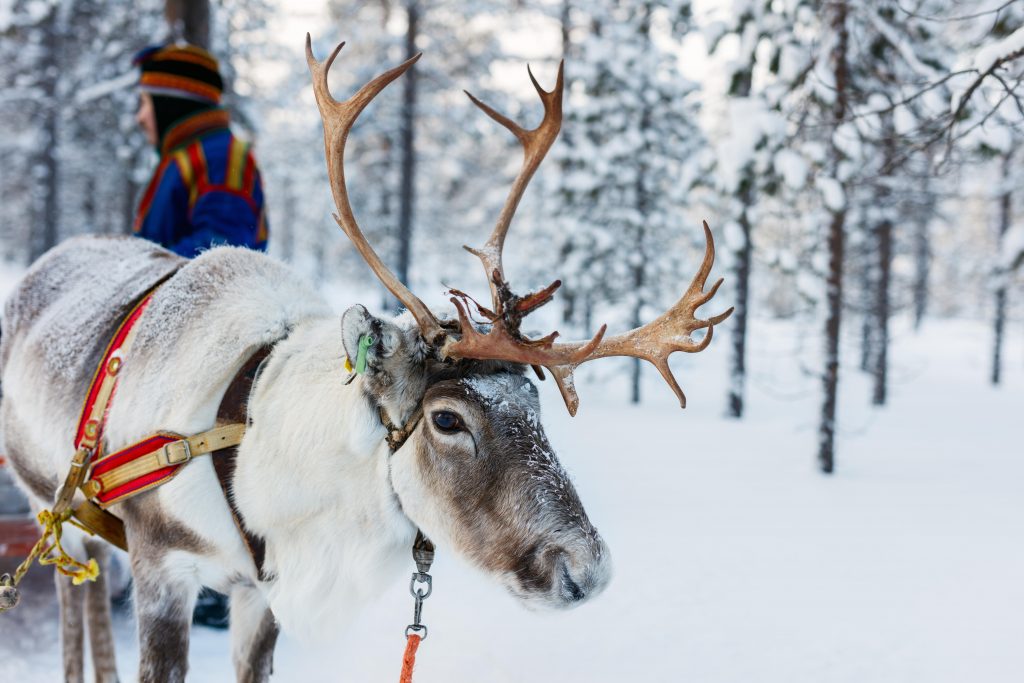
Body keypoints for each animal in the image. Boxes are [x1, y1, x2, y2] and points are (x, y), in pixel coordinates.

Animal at [0, 37, 731, 683]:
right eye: (447, 419)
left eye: (536, 403)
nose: (588, 571)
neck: (251, 443)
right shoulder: (162, 564)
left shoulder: (261, 592)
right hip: (51, 510)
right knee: (75, 594)